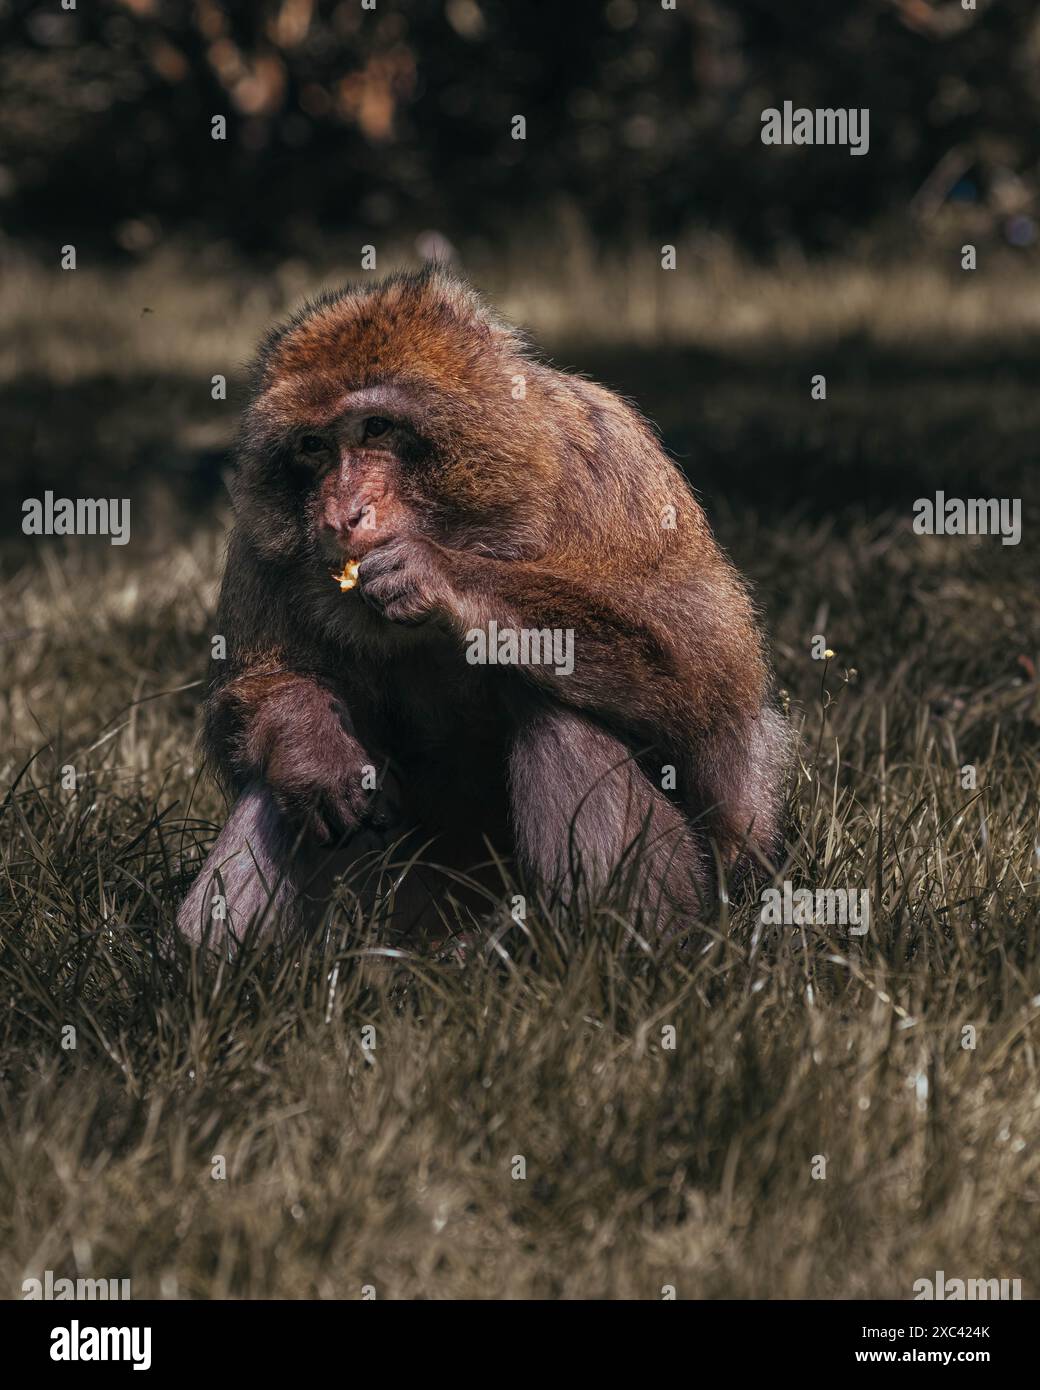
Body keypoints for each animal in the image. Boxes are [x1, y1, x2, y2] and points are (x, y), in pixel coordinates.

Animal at [176, 265, 789, 951]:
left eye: (376, 428)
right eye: (313, 446)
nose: (340, 515)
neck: (478, 524)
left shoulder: (608, 458)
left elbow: (706, 679)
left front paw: (440, 574)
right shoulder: (259, 540)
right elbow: (254, 697)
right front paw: (311, 746)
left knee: (561, 711)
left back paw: (609, 950)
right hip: (401, 905)